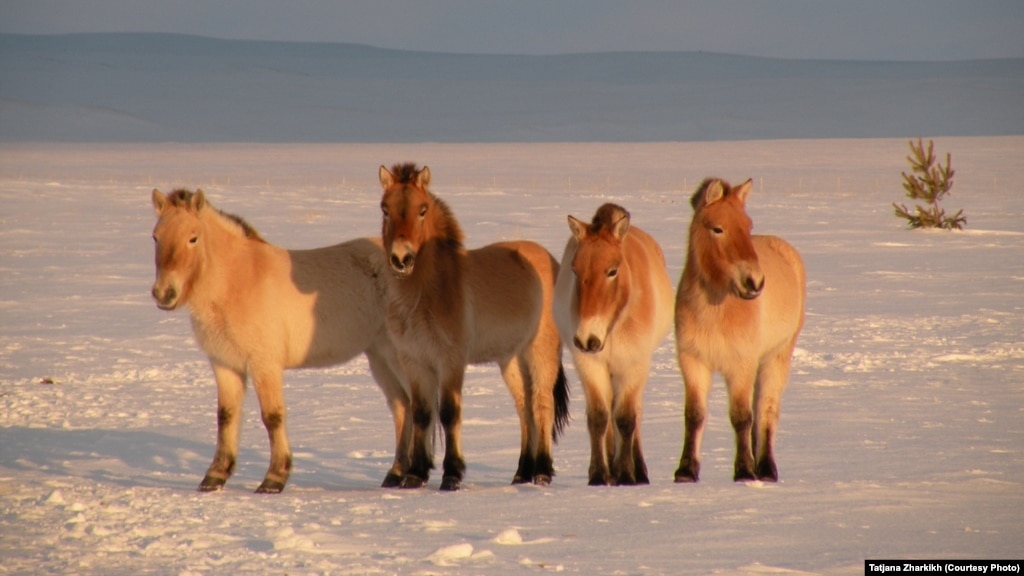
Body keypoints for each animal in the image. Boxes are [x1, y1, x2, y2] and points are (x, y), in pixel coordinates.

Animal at [151, 188, 411, 493]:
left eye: (193, 238)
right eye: (156, 237)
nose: (164, 294)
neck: (238, 281)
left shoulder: (265, 365)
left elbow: (272, 417)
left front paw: (274, 478)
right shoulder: (225, 364)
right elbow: (226, 415)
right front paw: (215, 476)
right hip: (379, 357)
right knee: (402, 406)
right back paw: (396, 474)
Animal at [377, 163, 570, 491]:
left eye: (422, 210)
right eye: (385, 209)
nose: (401, 259)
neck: (429, 292)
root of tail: (551, 261)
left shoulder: (451, 360)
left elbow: (448, 412)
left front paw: (452, 476)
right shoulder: (415, 360)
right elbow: (422, 413)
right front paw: (415, 475)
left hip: (540, 352)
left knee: (542, 403)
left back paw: (542, 472)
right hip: (511, 360)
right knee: (525, 408)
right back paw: (522, 473)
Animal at [553, 204, 674, 485]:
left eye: (612, 271)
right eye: (575, 271)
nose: (586, 338)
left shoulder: (633, 364)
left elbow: (626, 418)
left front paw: (626, 474)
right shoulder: (589, 364)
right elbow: (599, 417)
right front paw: (599, 474)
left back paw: (638, 471)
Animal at [673, 178, 806, 483]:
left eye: (748, 225)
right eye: (717, 228)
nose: (754, 282)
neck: (714, 312)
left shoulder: (741, 364)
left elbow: (741, 416)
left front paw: (745, 471)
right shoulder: (692, 362)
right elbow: (694, 415)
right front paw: (686, 470)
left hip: (776, 359)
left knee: (766, 409)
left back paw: (765, 469)